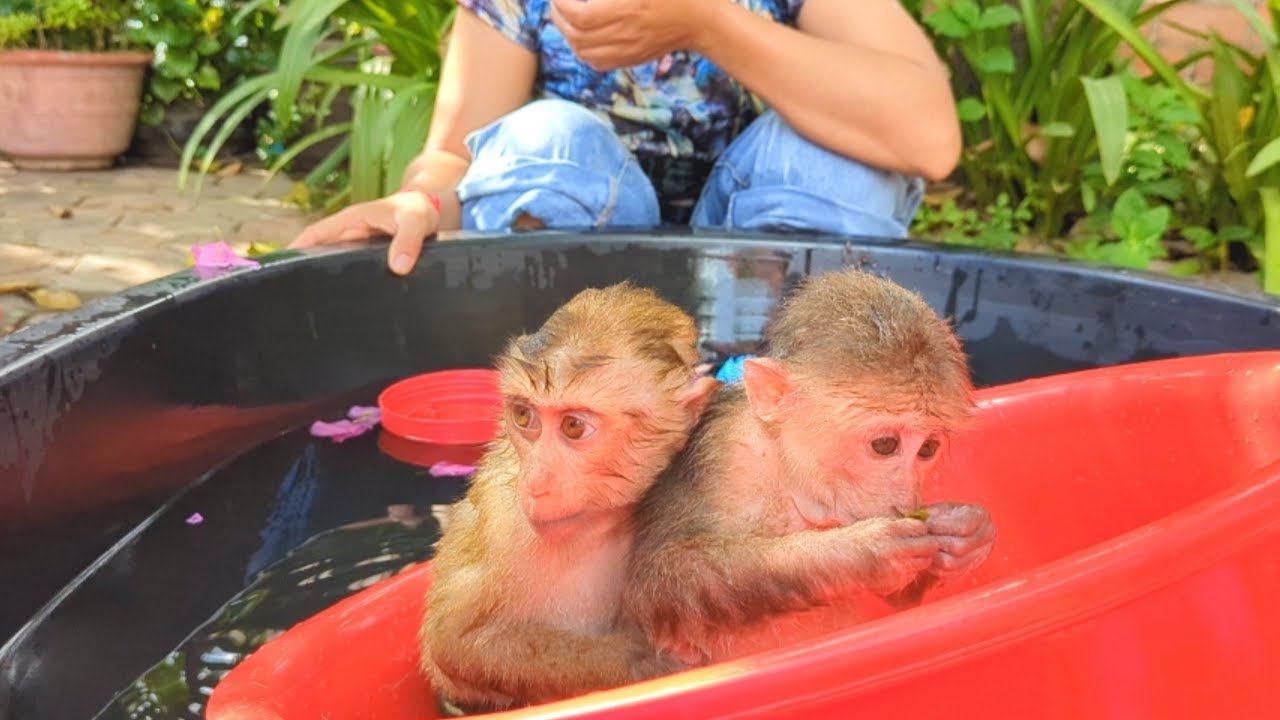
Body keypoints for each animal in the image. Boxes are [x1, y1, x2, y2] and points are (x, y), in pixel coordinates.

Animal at [419, 282, 720, 713]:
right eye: (524, 416)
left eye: (574, 426)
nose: (535, 482)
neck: (598, 524)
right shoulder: (503, 522)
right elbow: (455, 644)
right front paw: (644, 660)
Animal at [624, 267, 996, 666]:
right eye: (885, 445)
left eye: (927, 449)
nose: (905, 497)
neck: (793, 482)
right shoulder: (723, 456)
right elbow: (659, 582)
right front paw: (850, 555)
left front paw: (968, 535)